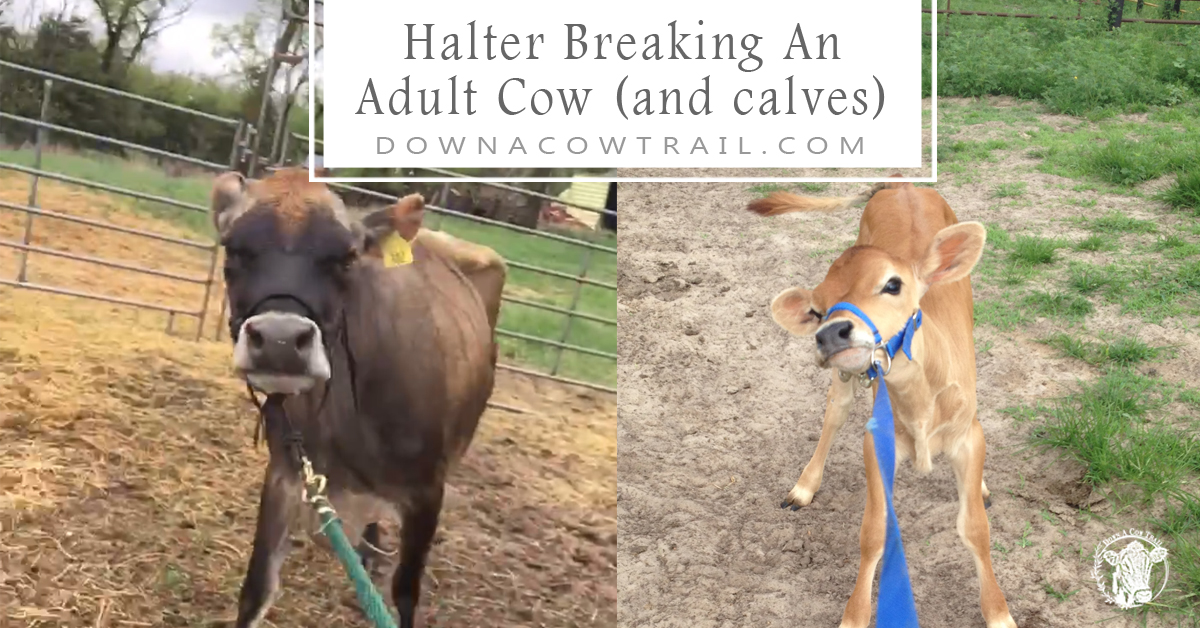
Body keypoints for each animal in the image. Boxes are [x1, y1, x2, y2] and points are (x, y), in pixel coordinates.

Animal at [209, 167, 505, 628]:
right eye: (233, 248)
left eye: (347, 258)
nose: (279, 341)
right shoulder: (284, 470)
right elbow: (256, 587)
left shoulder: (427, 491)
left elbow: (405, 594)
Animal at [745, 178, 1016, 628]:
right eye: (817, 309)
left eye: (893, 284)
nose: (831, 332)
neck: (922, 402)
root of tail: (901, 183)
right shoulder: (877, 440)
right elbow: (873, 531)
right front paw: (853, 617)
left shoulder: (968, 433)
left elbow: (976, 528)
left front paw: (999, 613)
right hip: (844, 380)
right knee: (835, 412)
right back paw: (804, 485)